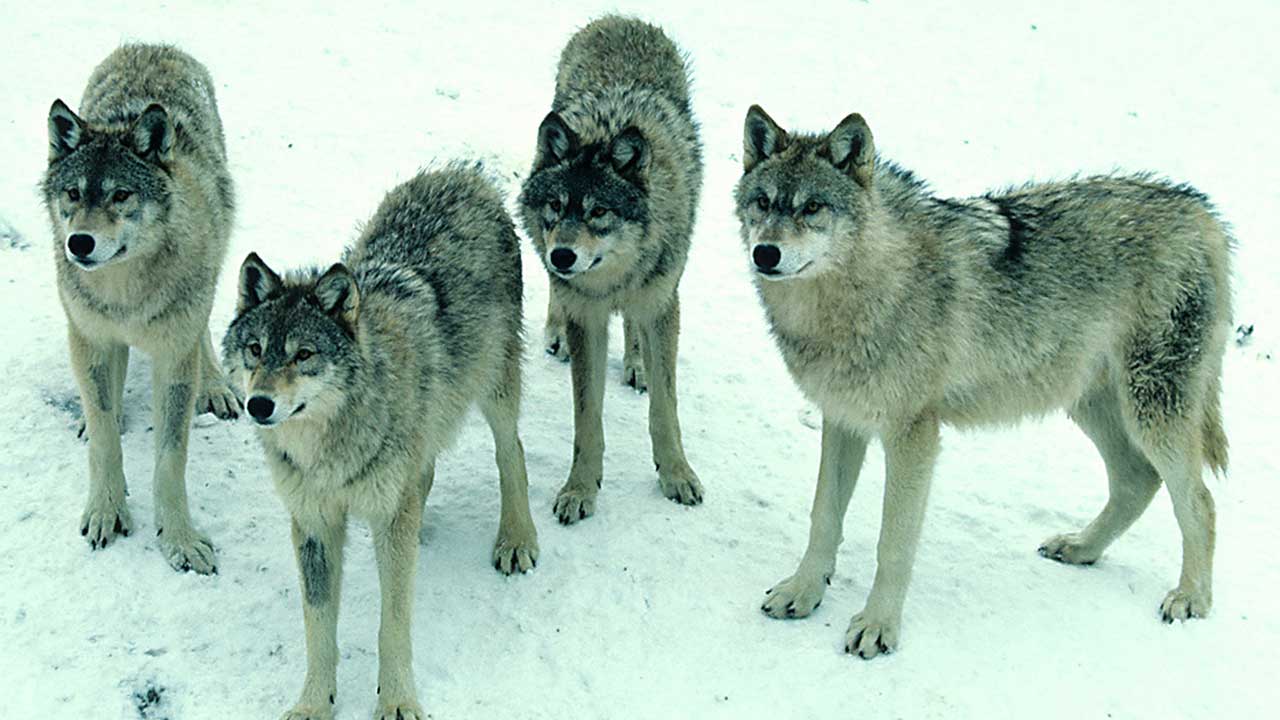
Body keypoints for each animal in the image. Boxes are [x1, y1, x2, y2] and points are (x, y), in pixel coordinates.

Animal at [42, 44, 240, 574]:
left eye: (120, 195)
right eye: (73, 193)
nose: (79, 243)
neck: (124, 295)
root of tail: (150, 44)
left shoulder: (173, 355)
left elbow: (171, 459)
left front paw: (179, 540)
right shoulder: (90, 336)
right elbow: (106, 440)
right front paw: (106, 511)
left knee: (204, 332)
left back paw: (215, 387)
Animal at [224, 165, 539, 720]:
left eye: (303, 355)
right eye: (256, 350)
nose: (258, 405)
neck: (328, 450)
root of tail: (463, 173)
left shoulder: (388, 517)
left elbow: (392, 624)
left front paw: (396, 702)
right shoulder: (314, 523)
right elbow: (318, 629)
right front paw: (313, 704)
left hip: (494, 387)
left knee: (511, 452)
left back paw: (516, 540)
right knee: (427, 473)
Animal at [518, 15, 706, 523]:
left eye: (598, 211)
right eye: (556, 206)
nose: (563, 256)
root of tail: (619, 19)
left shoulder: (660, 303)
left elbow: (666, 408)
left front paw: (676, 474)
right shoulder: (586, 313)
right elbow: (587, 417)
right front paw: (580, 489)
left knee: (636, 328)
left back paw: (637, 363)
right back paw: (557, 333)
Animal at [735, 105, 1232, 658]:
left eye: (813, 207)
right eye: (764, 202)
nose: (765, 253)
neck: (861, 291)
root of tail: (1202, 213)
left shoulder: (913, 435)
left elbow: (893, 542)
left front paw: (878, 626)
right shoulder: (843, 420)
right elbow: (823, 517)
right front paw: (802, 592)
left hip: (1152, 411)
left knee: (1200, 502)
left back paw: (1191, 598)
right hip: (1089, 403)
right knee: (1136, 480)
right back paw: (1081, 548)